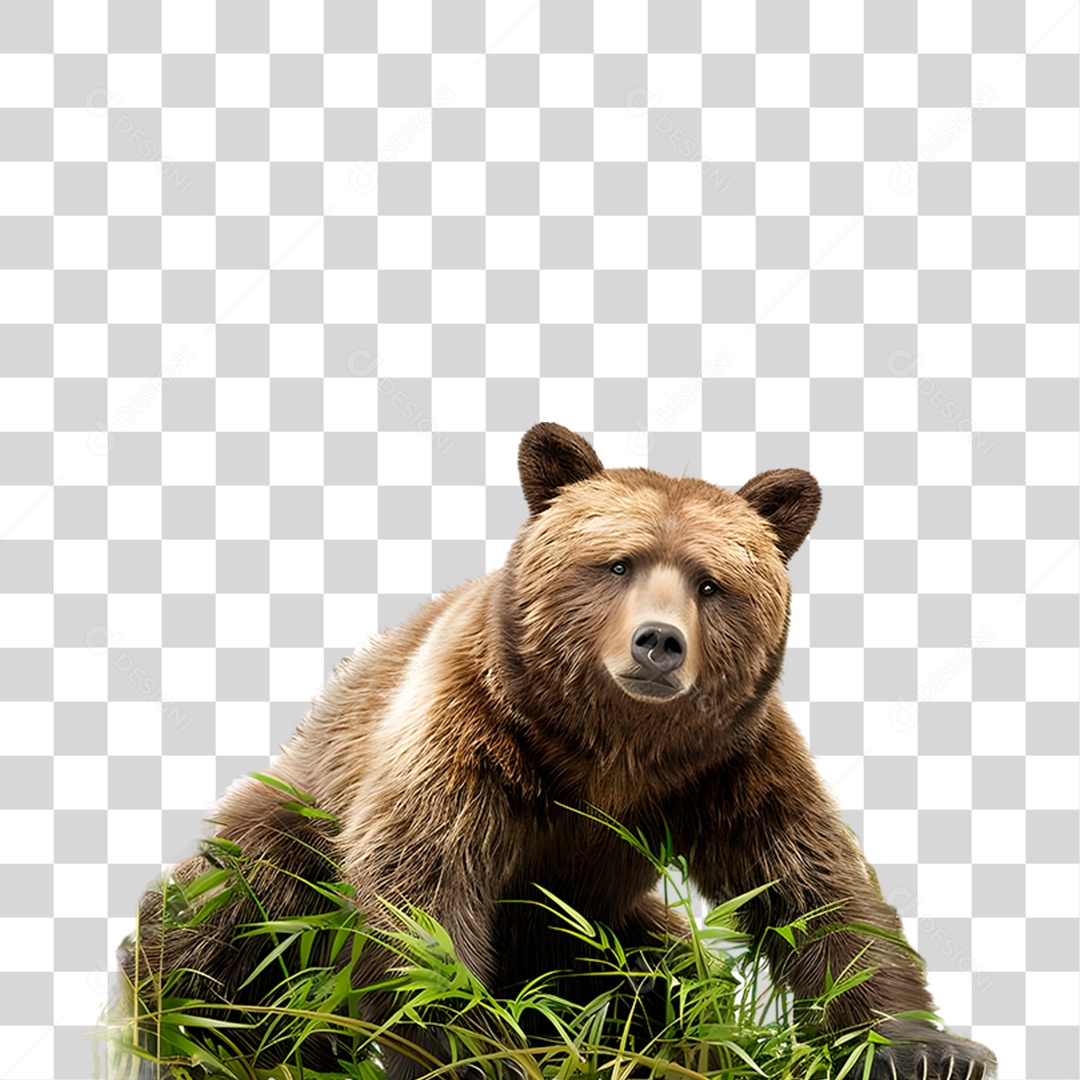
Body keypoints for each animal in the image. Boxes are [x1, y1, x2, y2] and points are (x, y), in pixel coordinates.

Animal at [117, 422, 995, 1080]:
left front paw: (927, 1048)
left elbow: (815, 887)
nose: (658, 643)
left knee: (672, 980)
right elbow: (422, 887)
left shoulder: (729, 763)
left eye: (711, 583)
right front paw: (477, 1052)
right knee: (236, 907)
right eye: (618, 563)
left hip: (609, 931)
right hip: (295, 824)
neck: (610, 751)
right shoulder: (471, 737)